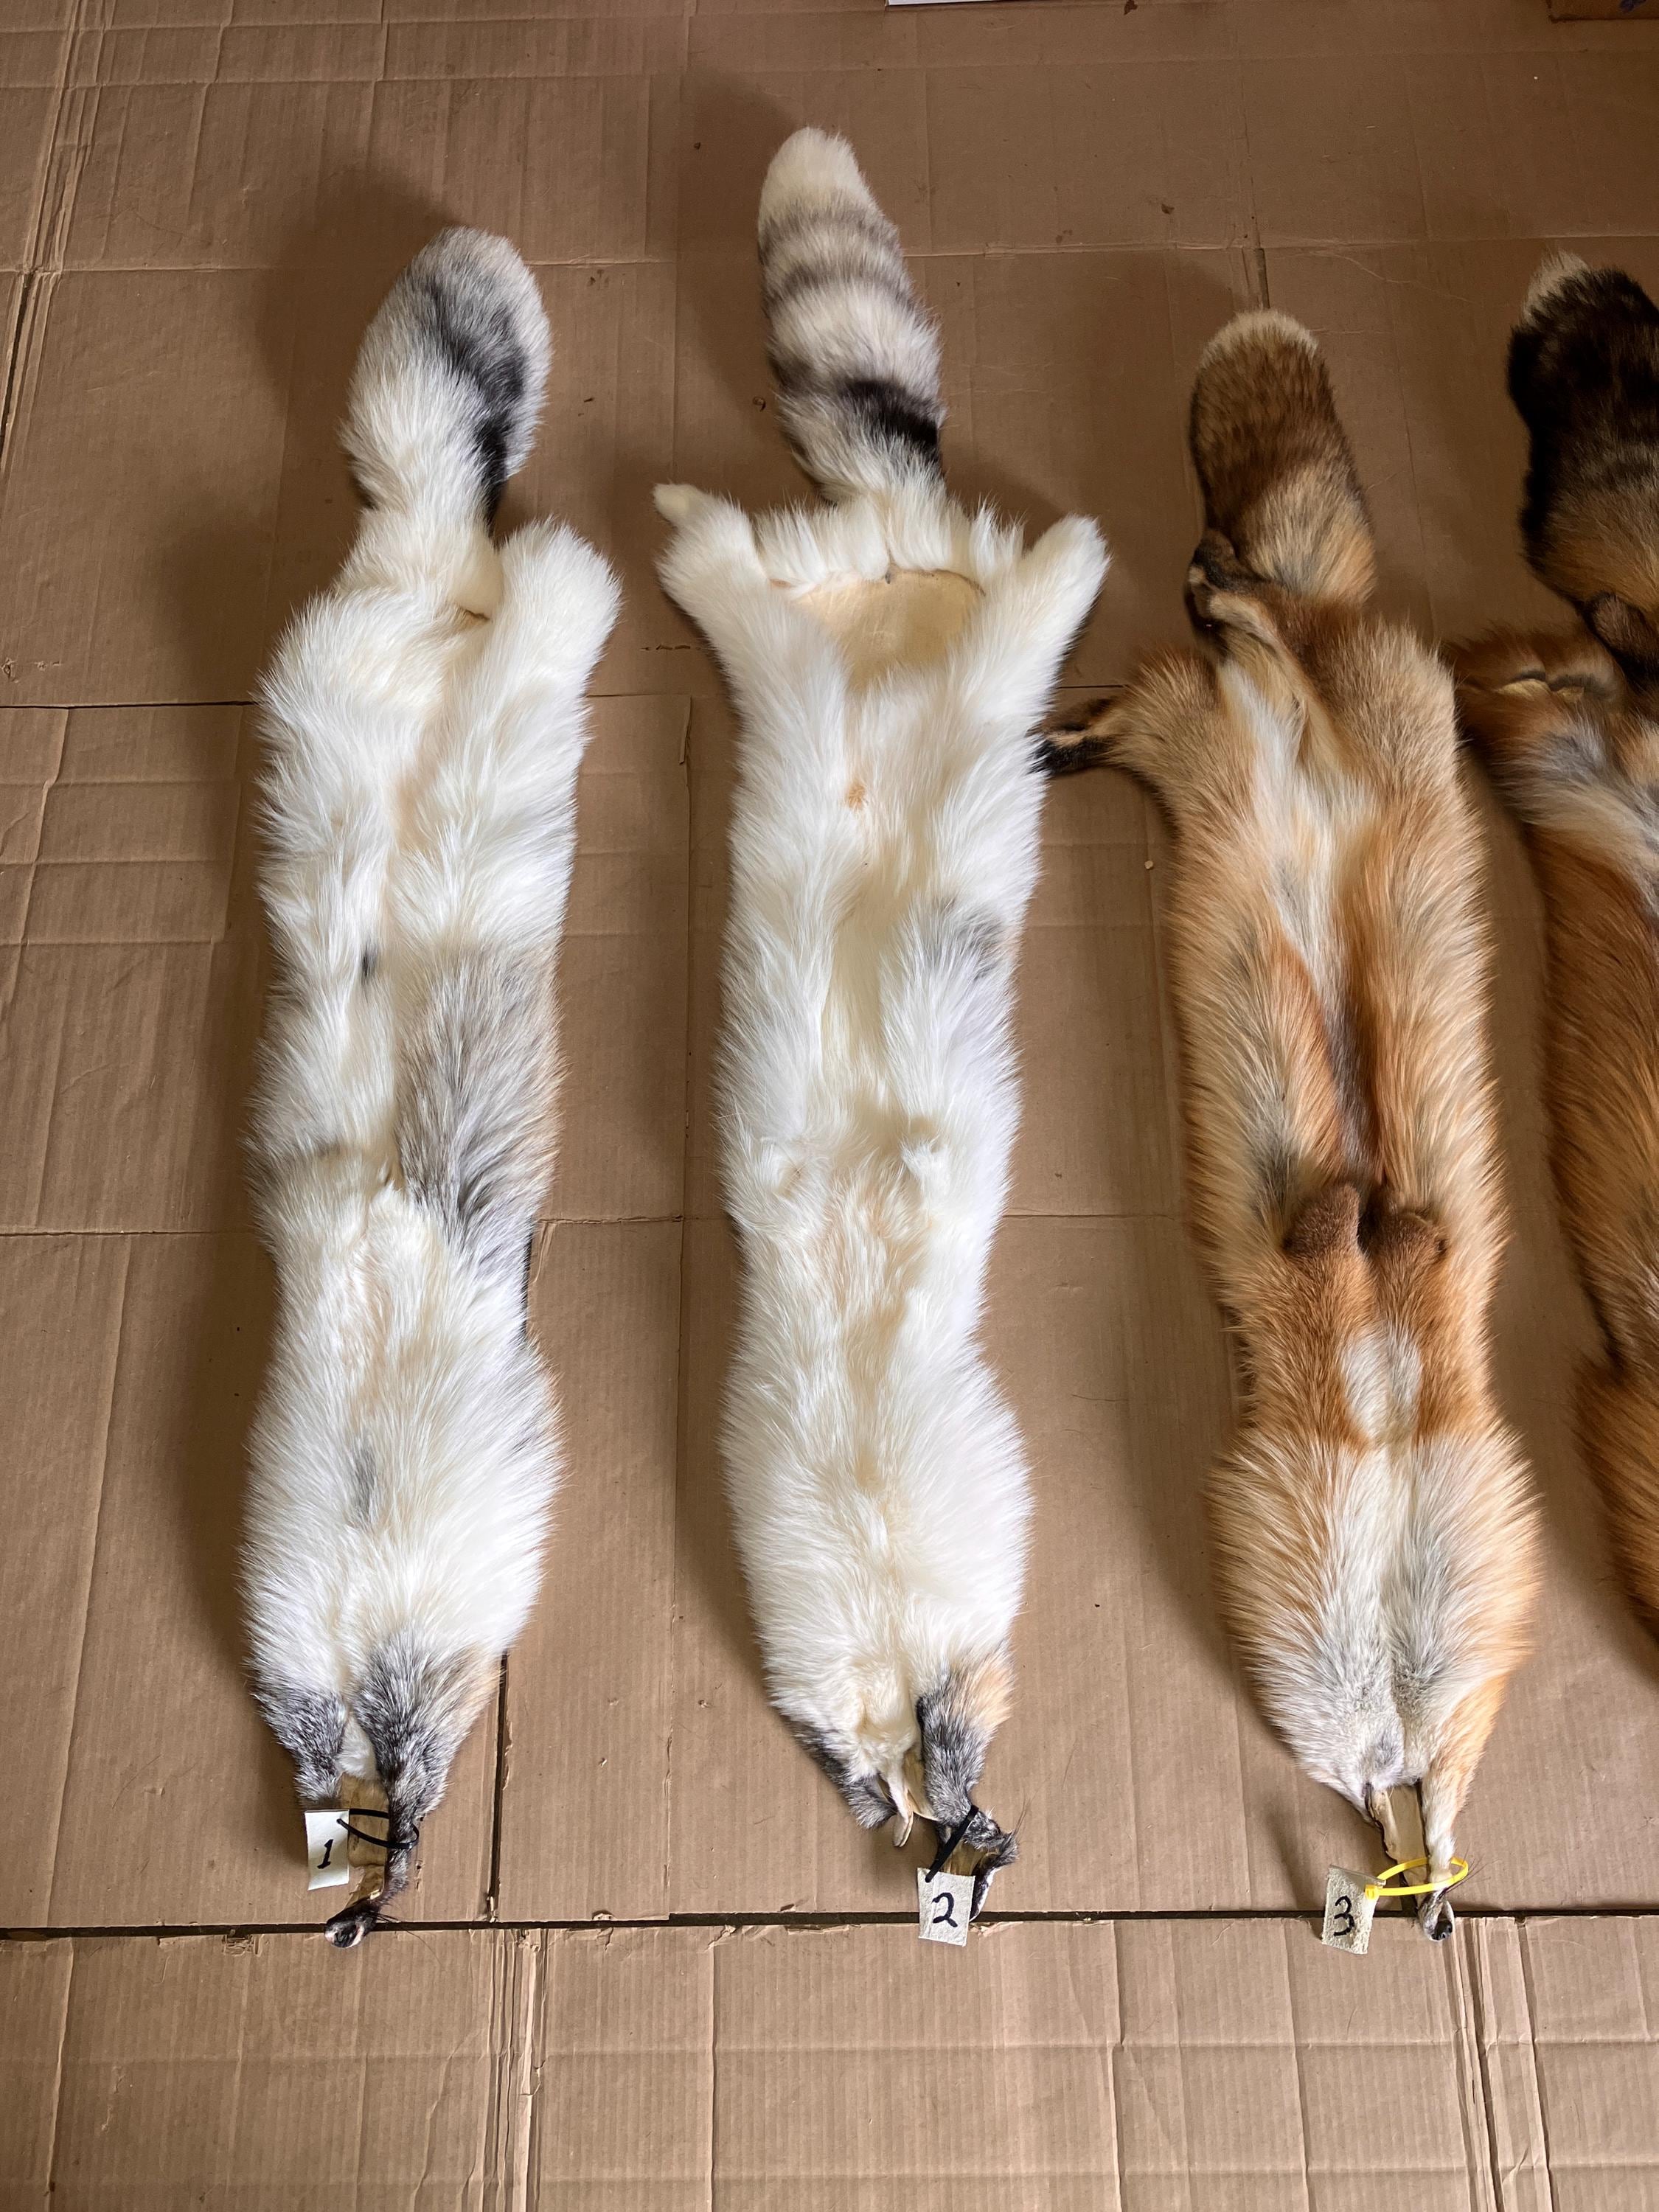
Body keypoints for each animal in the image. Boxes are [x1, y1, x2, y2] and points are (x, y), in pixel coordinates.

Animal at [655, 129, 1106, 1913]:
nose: (945, 1813)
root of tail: (891, 568)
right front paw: (906, 1791)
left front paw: (929, 1788)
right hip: (797, 685)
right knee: (769, 571)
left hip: (971, 708)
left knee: (1030, 579)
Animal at [1048, 310, 1539, 1937]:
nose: (1423, 1875)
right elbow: (1338, 1224)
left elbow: (1382, 1223)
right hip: (1267, 730)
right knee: (1229, 644)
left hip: (1353, 714)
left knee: (1253, 636)